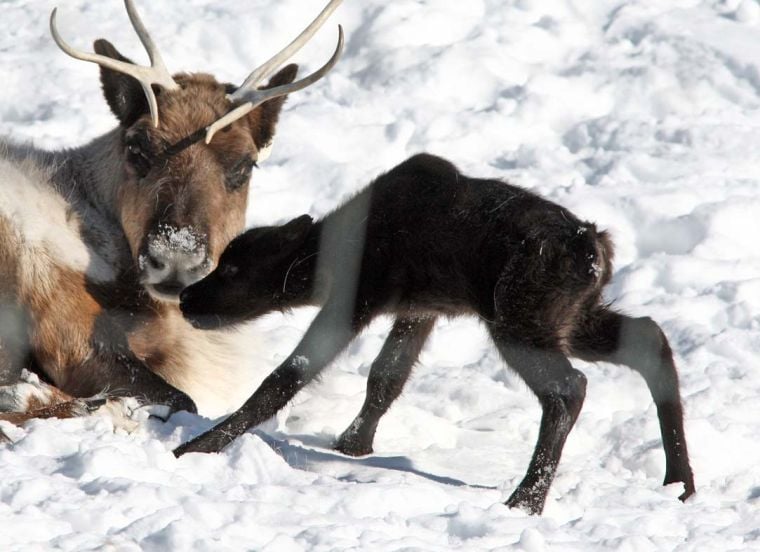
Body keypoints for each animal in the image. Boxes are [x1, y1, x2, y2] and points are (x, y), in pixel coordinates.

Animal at [175, 153, 696, 515]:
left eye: (233, 269)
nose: (185, 298)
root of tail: (594, 252)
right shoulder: (419, 309)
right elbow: (386, 376)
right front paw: (352, 445)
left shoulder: (356, 299)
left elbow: (289, 374)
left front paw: (197, 446)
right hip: (571, 318)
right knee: (650, 337)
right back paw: (681, 481)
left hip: (519, 319)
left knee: (570, 387)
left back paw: (526, 500)